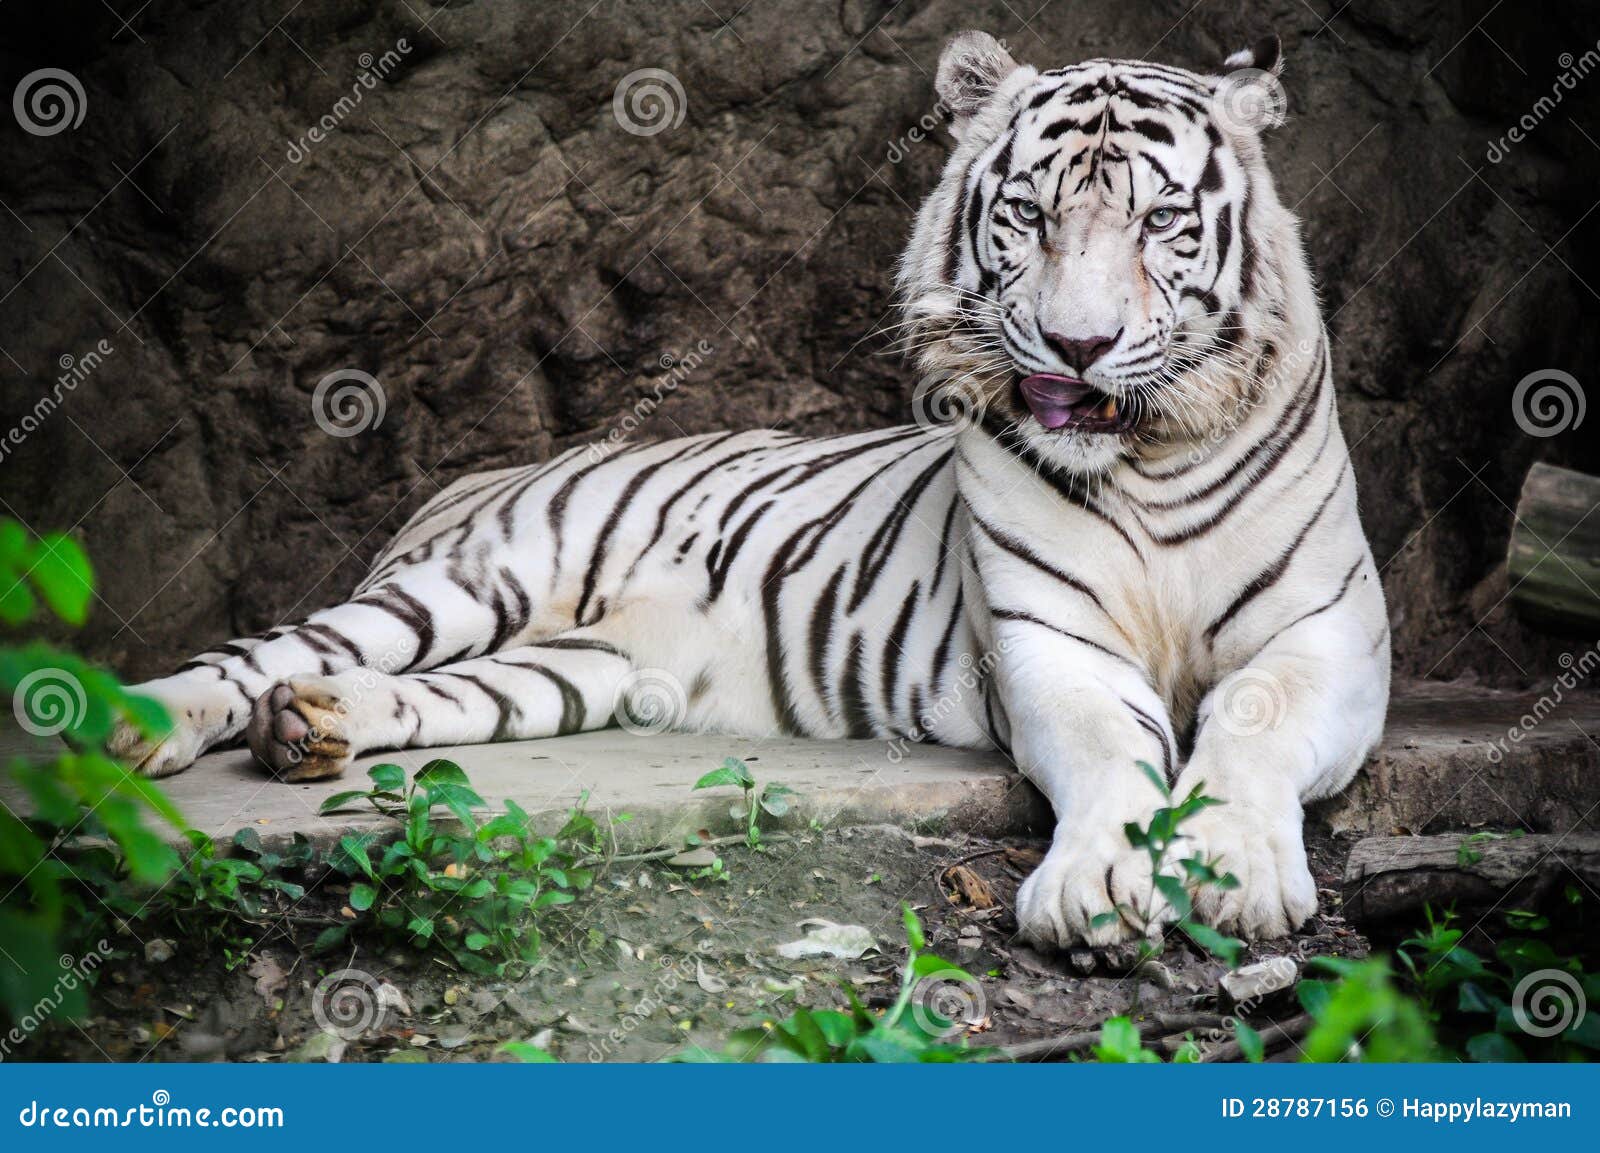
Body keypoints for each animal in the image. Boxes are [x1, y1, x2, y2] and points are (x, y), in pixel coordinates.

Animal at [106, 31, 1390, 948]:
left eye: (1161, 221)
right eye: (1028, 214)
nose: (1078, 346)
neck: (1147, 457)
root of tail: (499, 466)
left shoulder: (1326, 636)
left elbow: (1251, 723)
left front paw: (1230, 873)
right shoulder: (1048, 639)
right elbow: (1111, 745)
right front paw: (1101, 887)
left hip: (575, 669)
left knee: (417, 695)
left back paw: (309, 726)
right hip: (474, 583)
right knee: (262, 653)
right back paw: (132, 727)